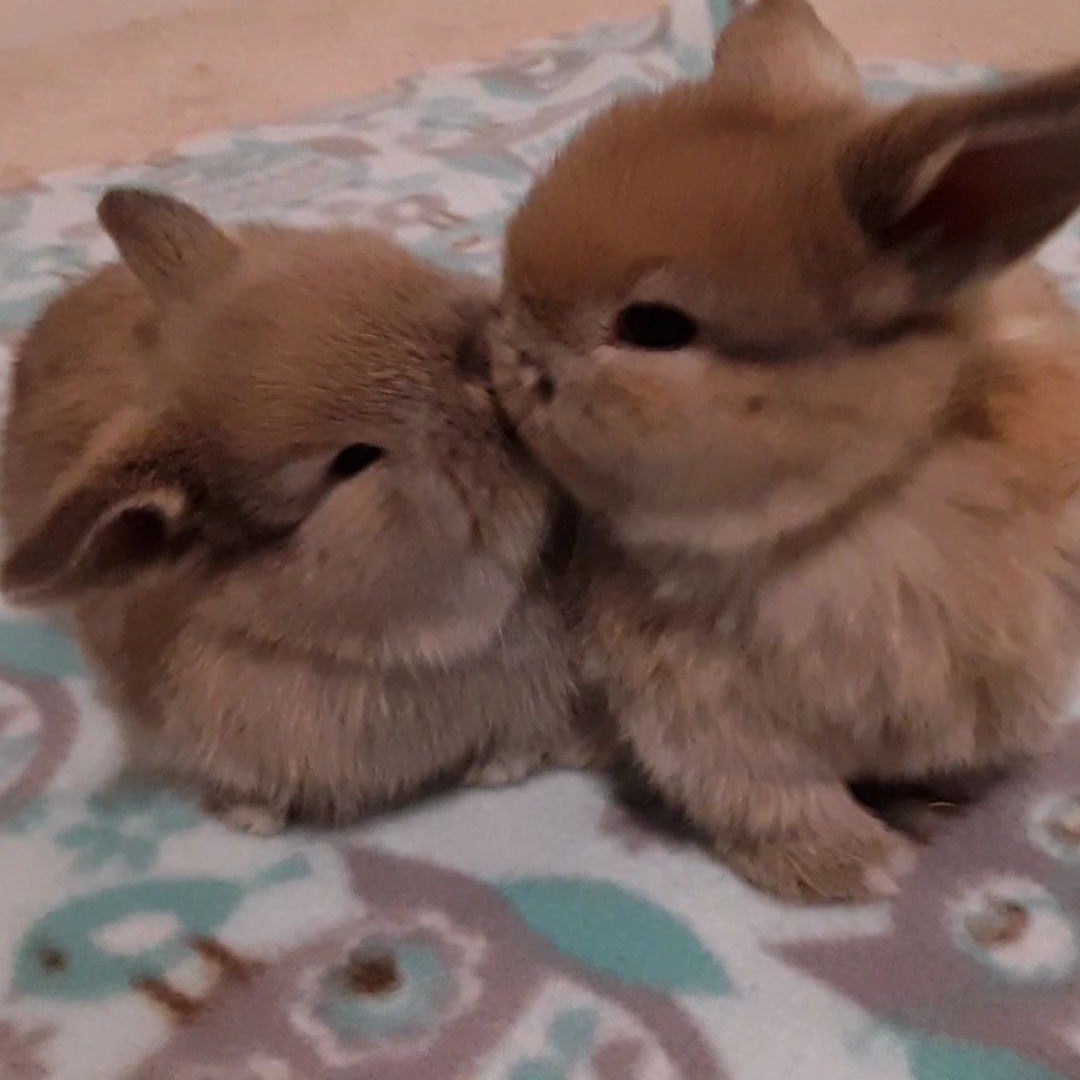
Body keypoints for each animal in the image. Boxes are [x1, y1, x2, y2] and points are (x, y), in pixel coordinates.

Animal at [491, 0, 1080, 900]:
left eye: (653, 326)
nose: (507, 355)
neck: (861, 493)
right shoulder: (709, 716)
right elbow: (774, 798)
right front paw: (860, 869)